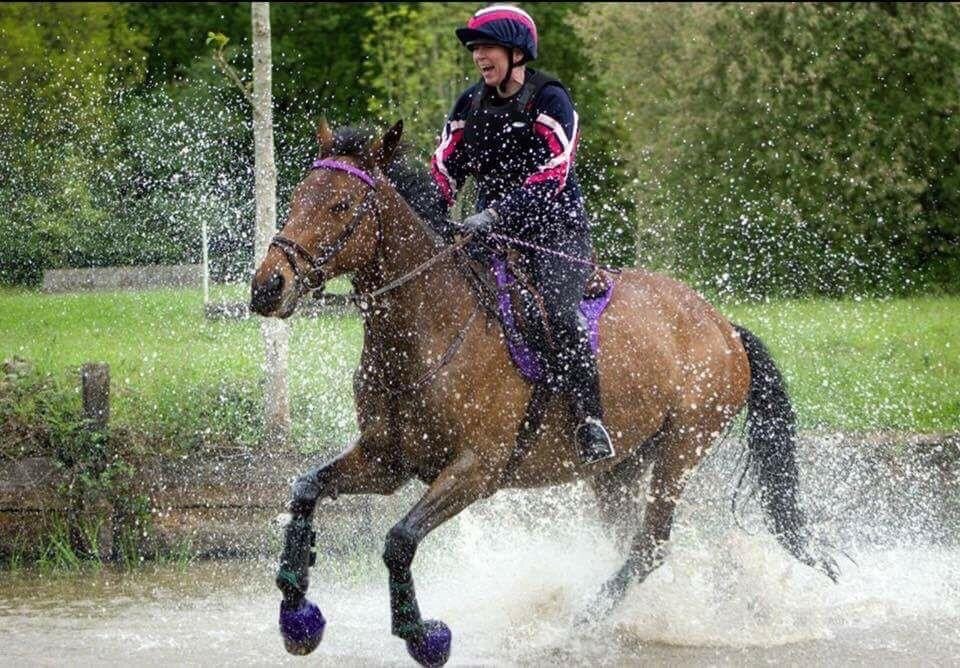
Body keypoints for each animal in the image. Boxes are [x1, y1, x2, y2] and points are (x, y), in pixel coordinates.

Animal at [250, 119, 838, 666]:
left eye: (341, 205)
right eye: (296, 198)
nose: (267, 287)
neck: (432, 328)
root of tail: (723, 326)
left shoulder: (476, 470)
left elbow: (399, 541)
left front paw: (423, 635)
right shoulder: (386, 459)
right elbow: (305, 489)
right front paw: (295, 615)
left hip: (683, 447)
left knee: (650, 546)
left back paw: (578, 622)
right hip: (620, 467)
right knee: (628, 540)